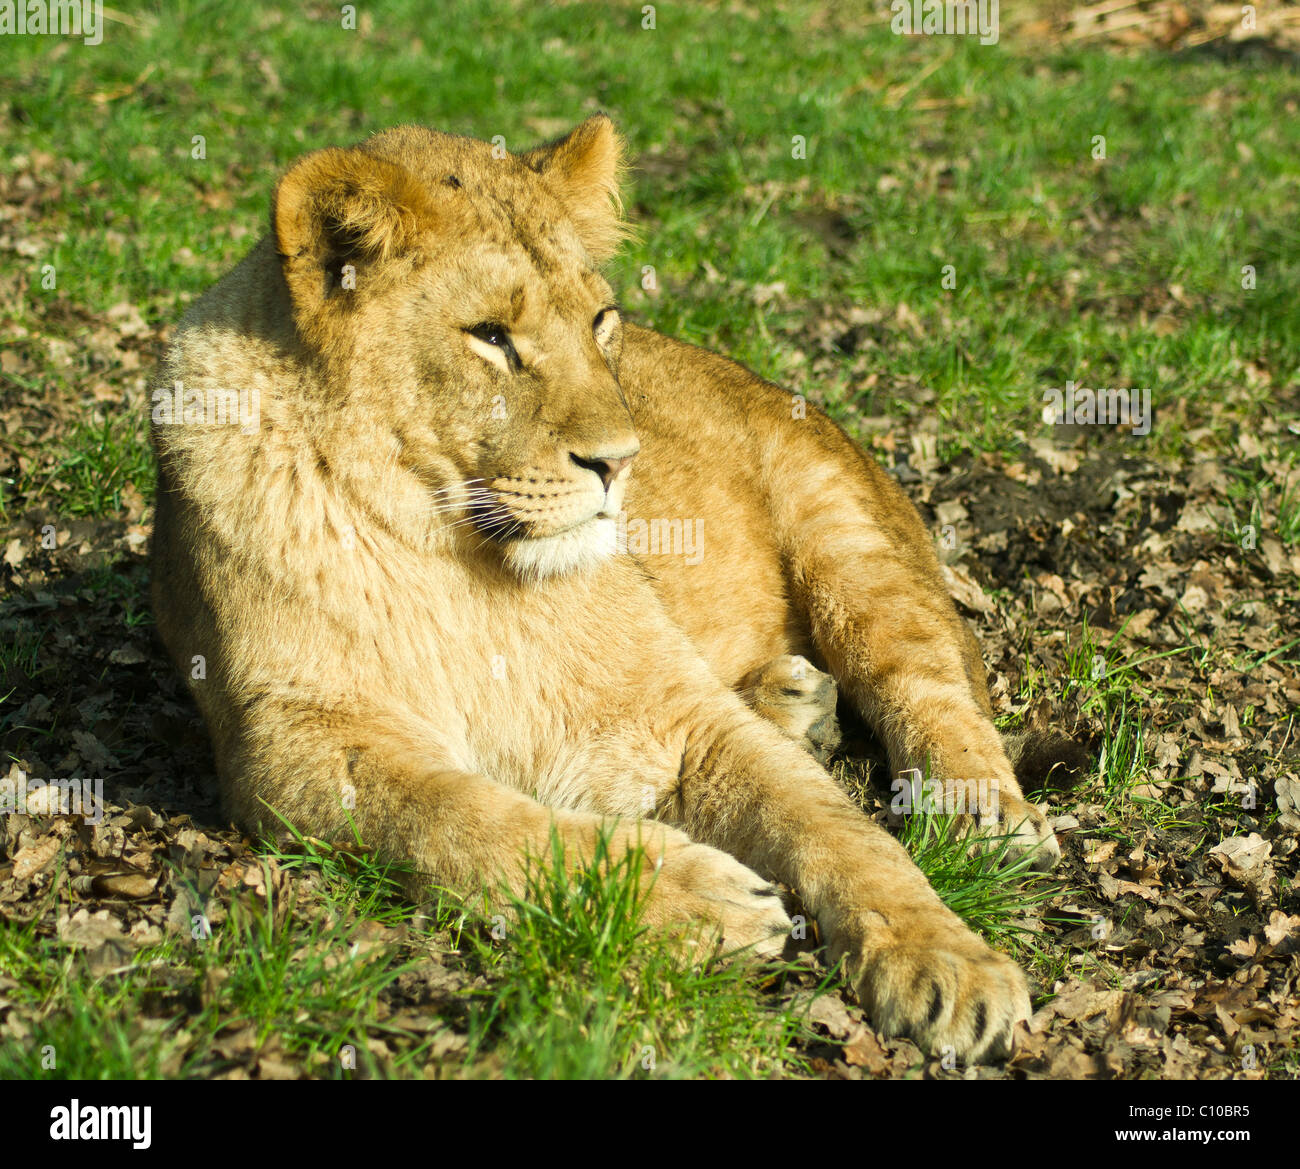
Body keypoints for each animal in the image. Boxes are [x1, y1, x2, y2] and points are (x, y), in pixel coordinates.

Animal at [150, 115, 1075, 1063]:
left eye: (599, 321)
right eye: (490, 334)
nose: (621, 461)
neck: (455, 551)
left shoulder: (676, 713)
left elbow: (837, 830)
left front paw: (945, 955)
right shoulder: (288, 743)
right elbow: (460, 817)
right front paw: (701, 900)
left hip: (849, 536)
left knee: (930, 687)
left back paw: (985, 818)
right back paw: (795, 701)